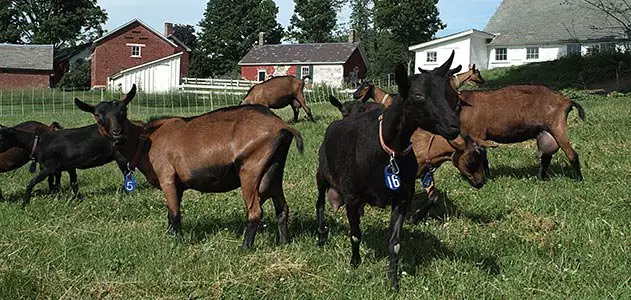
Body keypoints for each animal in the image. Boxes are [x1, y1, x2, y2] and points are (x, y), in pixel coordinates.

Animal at [76, 85, 304, 250]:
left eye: (123, 110)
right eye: (98, 115)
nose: (117, 134)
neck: (145, 140)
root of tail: (282, 126)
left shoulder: (167, 177)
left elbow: (175, 213)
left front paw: (176, 243)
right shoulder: (178, 185)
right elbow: (171, 213)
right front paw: (169, 237)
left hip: (251, 168)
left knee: (255, 211)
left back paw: (244, 248)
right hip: (274, 169)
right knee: (282, 208)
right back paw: (284, 243)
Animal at [318, 52, 462, 290]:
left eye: (444, 91)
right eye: (418, 95)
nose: (454, 126)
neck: (386, 151)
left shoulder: (403, 197)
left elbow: (395, 243)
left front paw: (393, 281)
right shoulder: (352, 195)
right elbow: (355, 235)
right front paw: (355, 262)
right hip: (321, 175)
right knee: (320, 203)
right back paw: (321, 236)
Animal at [460, 84, 588, 179]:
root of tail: (567, 101)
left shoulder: (477, 134)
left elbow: (481, 158)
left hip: (557, 126)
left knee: (572, 154)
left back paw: (579, 179)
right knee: (546, 157)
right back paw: (540, 178)